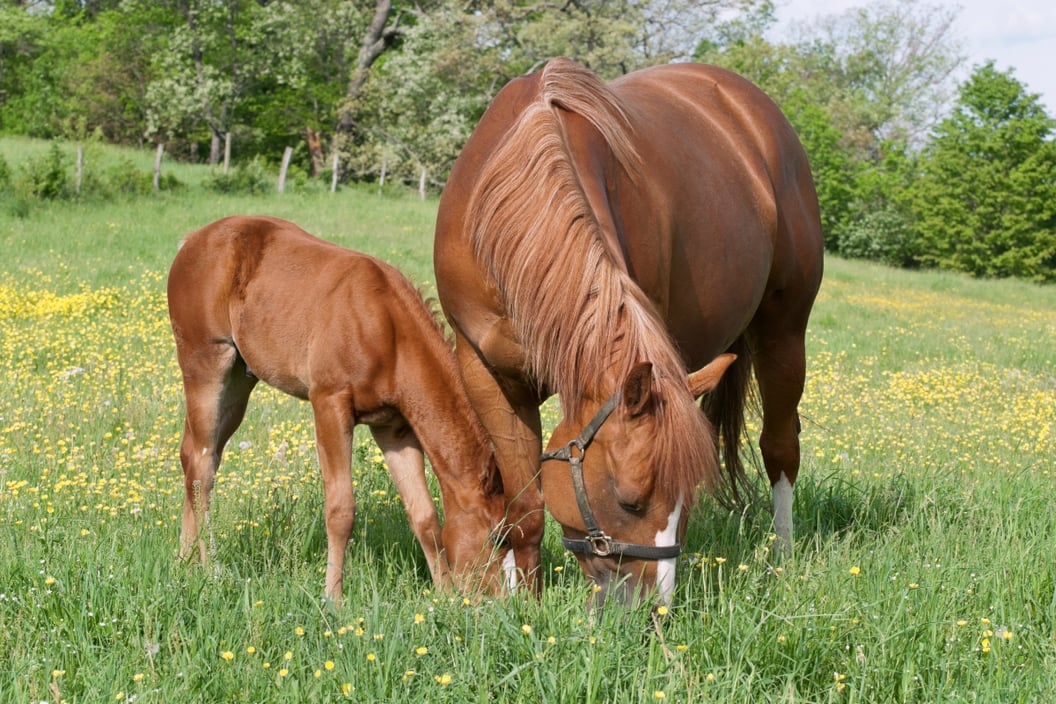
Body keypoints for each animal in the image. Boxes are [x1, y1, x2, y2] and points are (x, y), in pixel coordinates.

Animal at [167, 216, 511, 608]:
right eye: (497, 535)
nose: (498, 600)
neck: (387, 329)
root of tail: (191, 241)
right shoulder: (329, 405)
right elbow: (340, 509)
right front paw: (333, 597)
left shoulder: (394, 428)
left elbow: (423, 513)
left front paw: (443, 594)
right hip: (206, 367)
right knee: (201, 465)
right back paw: (209, 567)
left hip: (239, 382)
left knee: (196, 456)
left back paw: (185, 560)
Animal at [434, 58, 823, 606]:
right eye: (629, 500)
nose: (654, 608)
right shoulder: (487, 373)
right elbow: (523, 507)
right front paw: (522, 603)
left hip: (784, 335)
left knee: (781, 447)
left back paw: (784, 559)